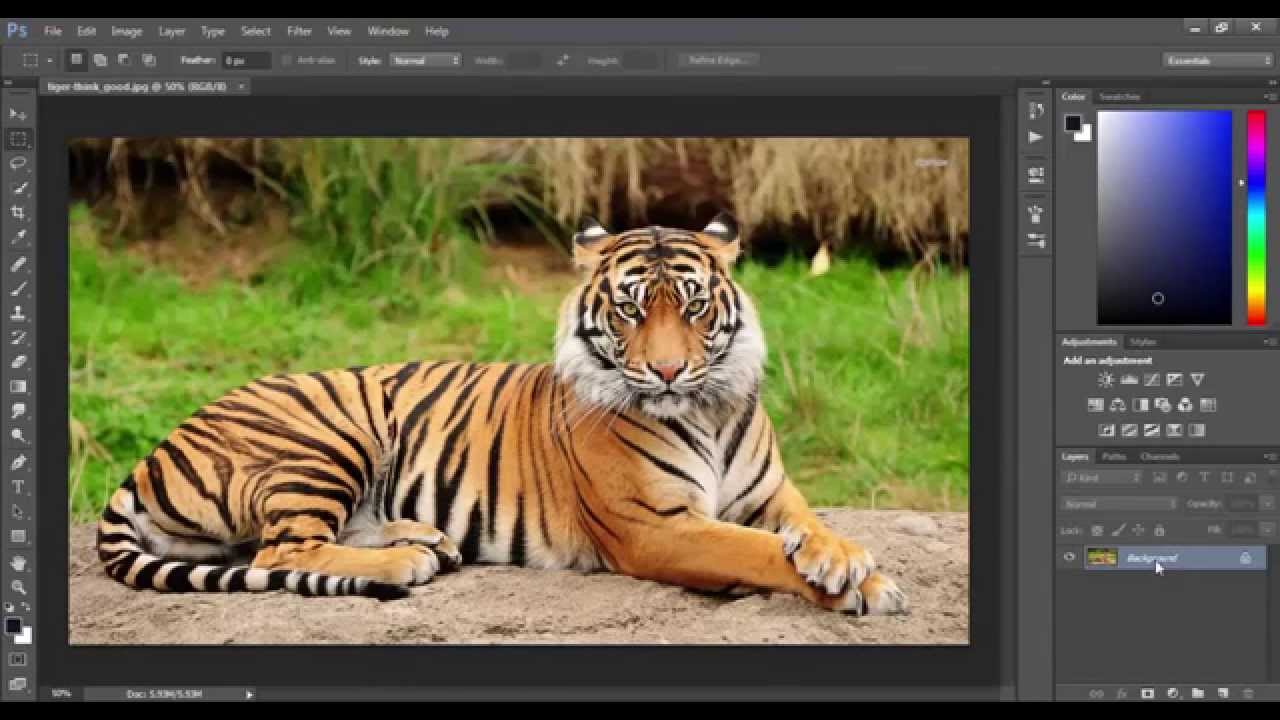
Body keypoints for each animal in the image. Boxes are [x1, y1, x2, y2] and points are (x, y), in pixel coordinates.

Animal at [95, 212, 909, 616]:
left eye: (694, 306)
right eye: (630, 310)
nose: (668, 370)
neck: (705, 410)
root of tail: (155, 450)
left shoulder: (772, 495)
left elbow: (808, 529)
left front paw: (849, 563)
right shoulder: (657, 528)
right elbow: (754, 552)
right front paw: (857, 587)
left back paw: (427, 539)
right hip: (327, 434)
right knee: (279, 551)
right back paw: (406, 559)